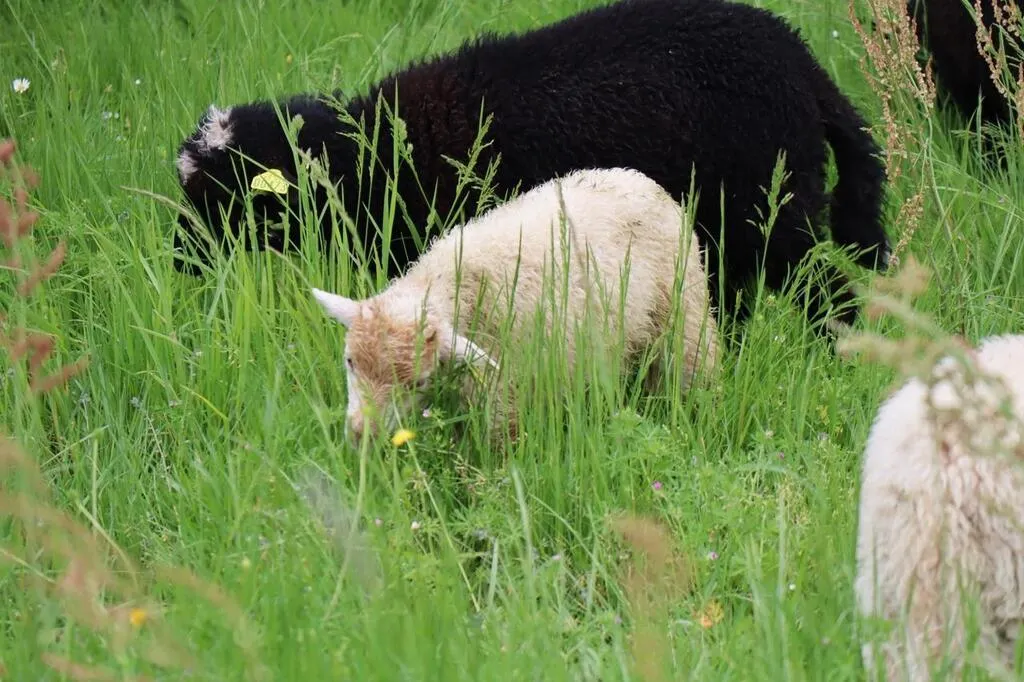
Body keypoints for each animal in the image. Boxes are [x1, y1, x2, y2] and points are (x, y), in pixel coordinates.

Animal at [173, 0, 890, 339]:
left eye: (222, 193)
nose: (179, 261)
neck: (369, 154)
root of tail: (802, 63)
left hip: (772, 207)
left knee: (828, 291)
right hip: (731, 225)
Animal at [310, 167, 719, 445]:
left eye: (417, 382)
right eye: (350, 362)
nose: (360, 434)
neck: (447, 284)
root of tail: (638, 179)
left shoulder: (504, 393)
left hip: (685, 315)